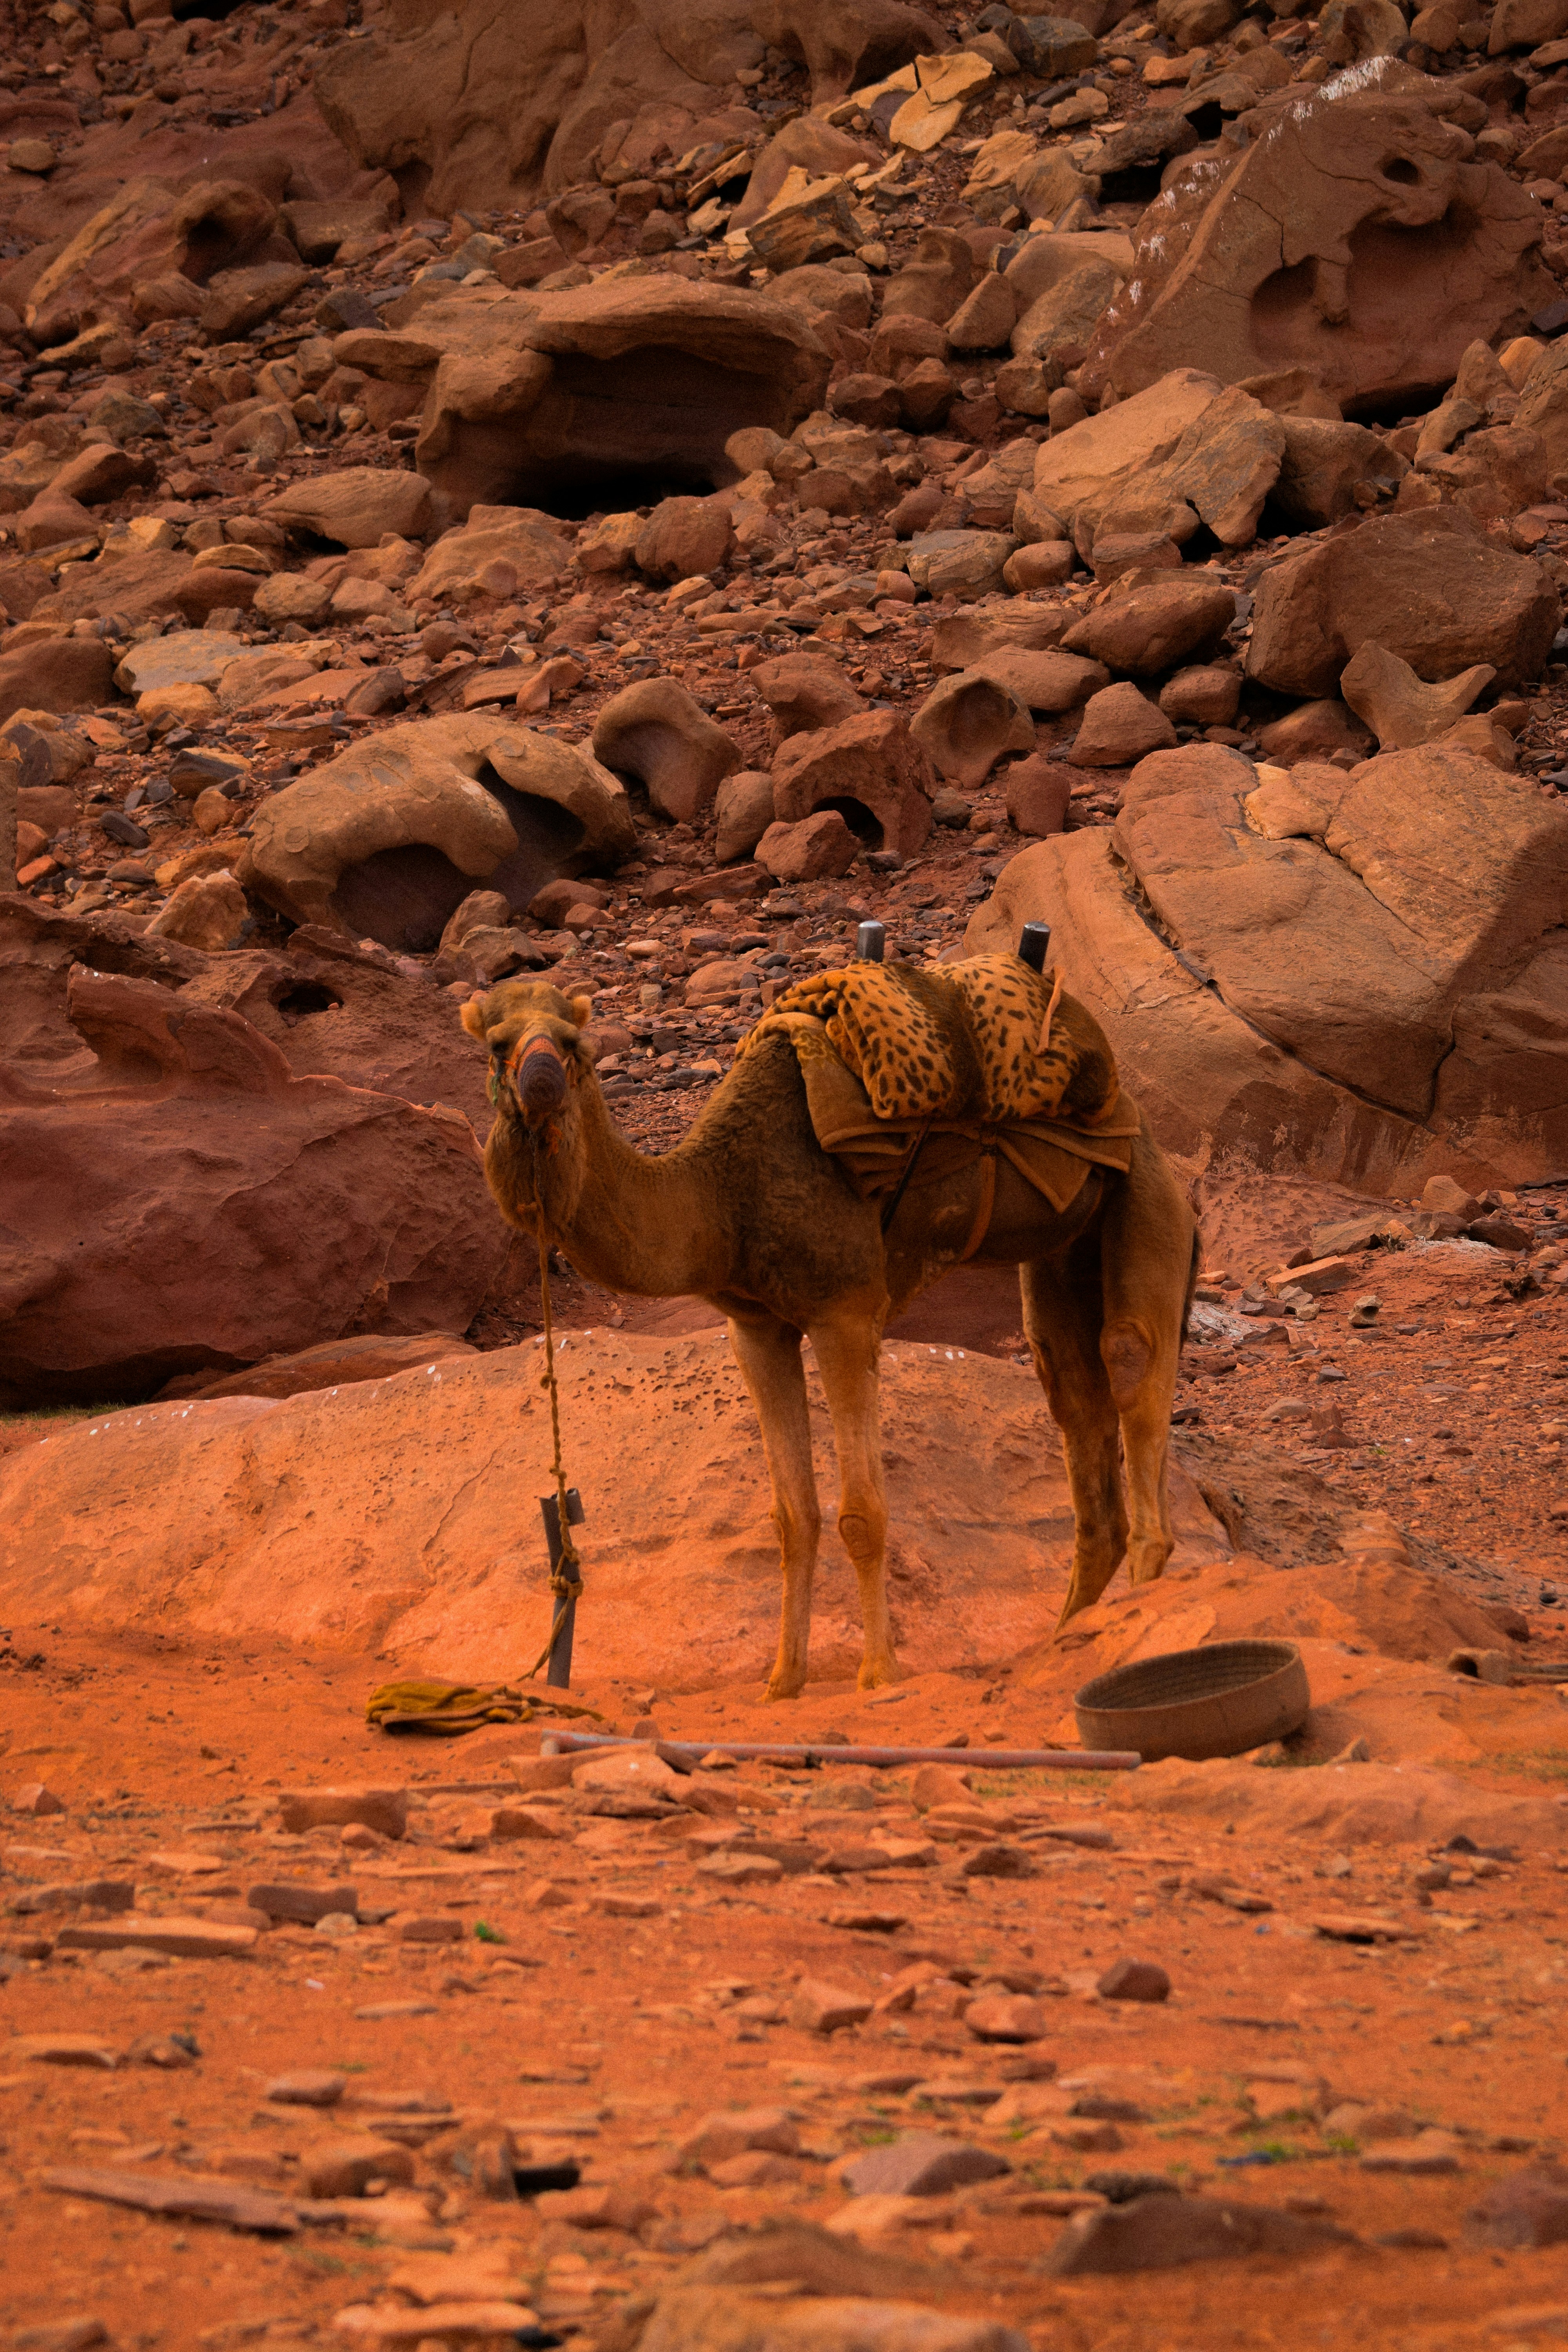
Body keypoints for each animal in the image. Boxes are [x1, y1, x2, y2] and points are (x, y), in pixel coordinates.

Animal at [461, 974, 1197, 1700]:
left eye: (571, 1042)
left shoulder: (845, 1308)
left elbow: (862, 1514)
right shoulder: (756, 1327)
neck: (722, 1197)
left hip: (1148, 1197)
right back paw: (1064, 1643)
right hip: (1063, 1248)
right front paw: (782, 1681)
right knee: (1070, 1389)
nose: (542, 1082)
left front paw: (879, 1675)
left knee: (1130, 1354)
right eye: (497, 1043)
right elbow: (793, 1519)